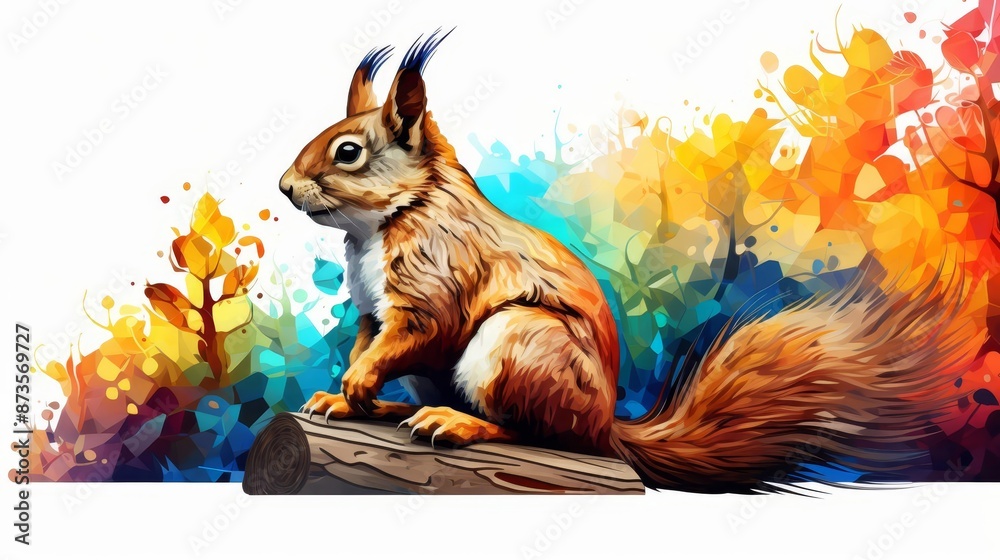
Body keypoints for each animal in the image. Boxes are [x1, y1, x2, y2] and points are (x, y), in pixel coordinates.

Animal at [278, 31, 985, 492]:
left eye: (347, 152)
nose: (285, 187)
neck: (388, 220)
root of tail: (605, 427)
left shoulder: (435, 280)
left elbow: (419, 331)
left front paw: (358, 385)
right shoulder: (373, 310)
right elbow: (369, 343)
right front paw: (345, 393)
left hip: (520, 344)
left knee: (535, 433)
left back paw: (459, 422)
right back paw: (397, 411)